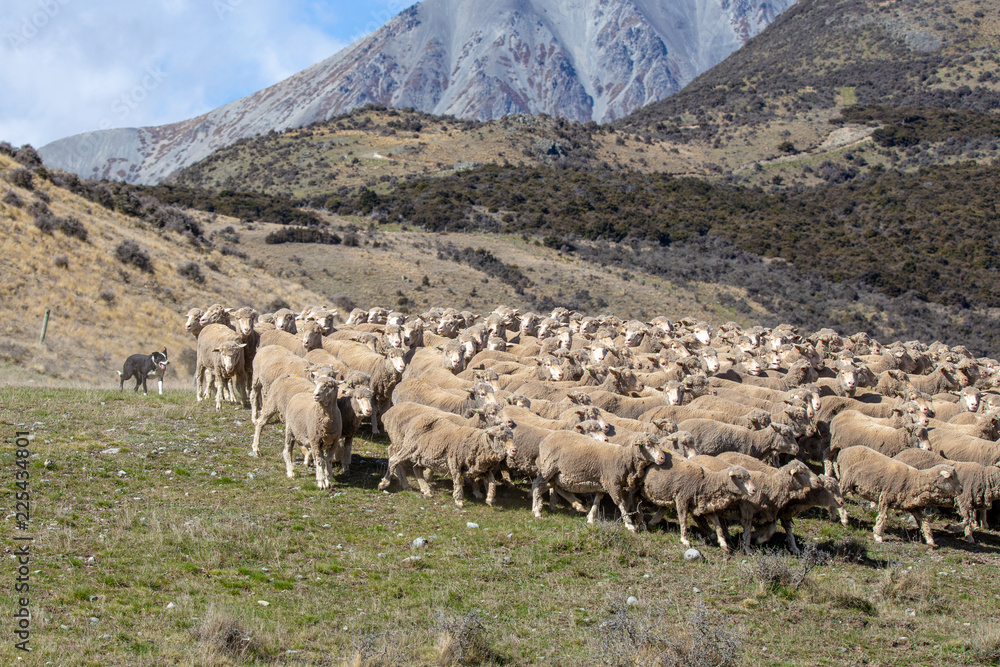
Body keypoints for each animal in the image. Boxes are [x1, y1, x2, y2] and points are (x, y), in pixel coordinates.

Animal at [532, 431, 666, 531]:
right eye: (648, 444)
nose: (662, 458)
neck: (624, 459)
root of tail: (545, 440)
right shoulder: (612, 484)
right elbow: (620, 504)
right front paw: (629, 524)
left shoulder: (603, 484)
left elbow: (597, 501)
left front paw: (590, 518)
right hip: (548, 468)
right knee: (537, 485)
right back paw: (537, 511)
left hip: (557, 474)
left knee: (550, 486)